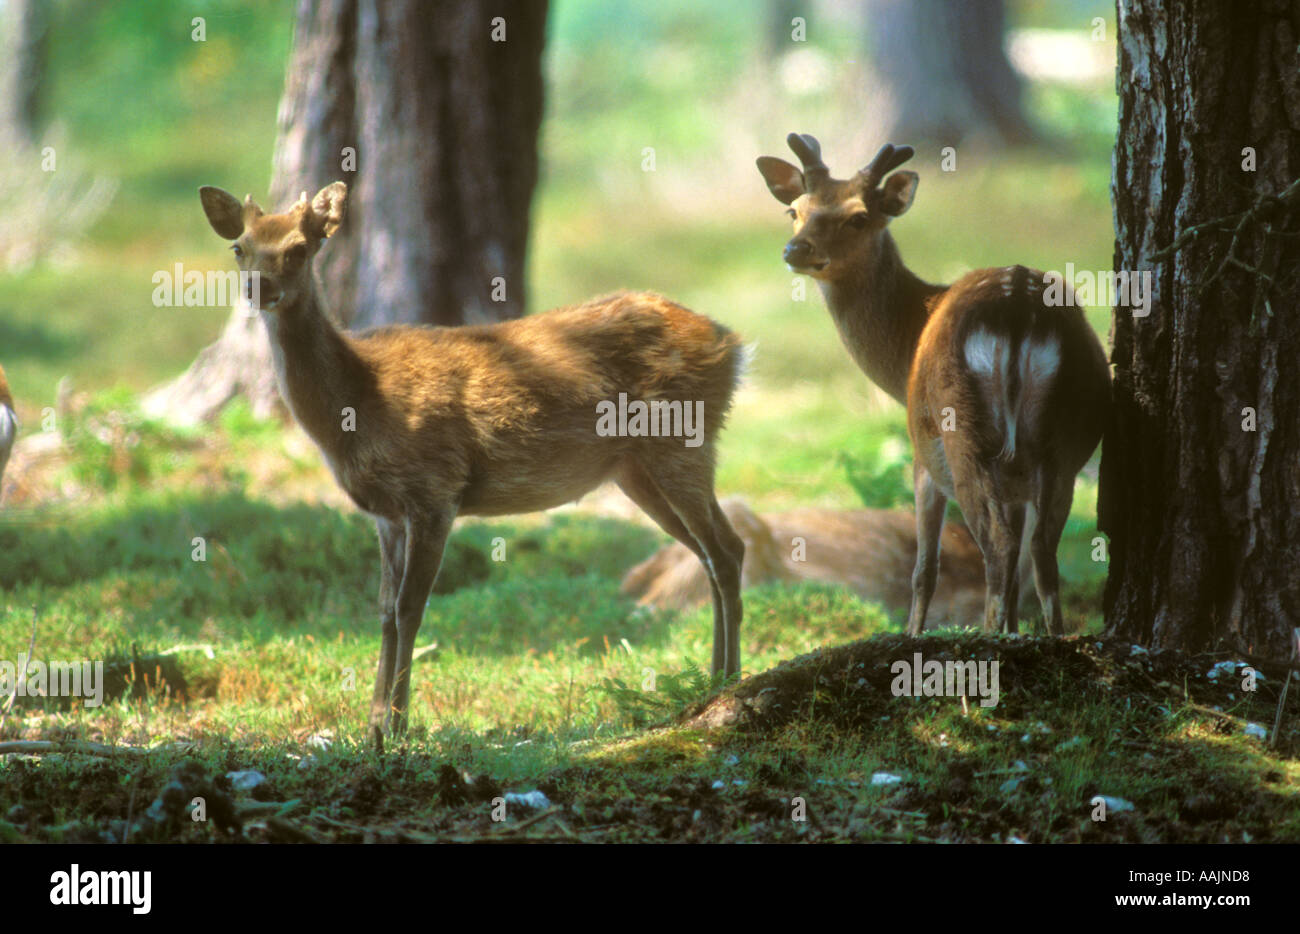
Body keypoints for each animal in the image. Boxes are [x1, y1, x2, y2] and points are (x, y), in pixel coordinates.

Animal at [199, 181, 746, 748]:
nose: (258, 290)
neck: (358, 404)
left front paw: (398, 726)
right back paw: (710, 680)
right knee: (708, 554)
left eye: (300, 249)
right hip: (636, 470)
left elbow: (410, 607)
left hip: (682, 442)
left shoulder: (435, 489)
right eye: (239, 247)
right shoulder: (386, 514)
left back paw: (727, 680)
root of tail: (734, 345)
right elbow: (384, 609)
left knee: (727, 548)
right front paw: (373, 726)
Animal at [757, 134, 1110, 637]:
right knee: (1041, 552)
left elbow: (924, 569)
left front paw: (913, 633)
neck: (905, 348)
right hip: (1065, 441)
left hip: (960, 431)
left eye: (858, 216)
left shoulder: (922, 457)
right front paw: (1014, 630)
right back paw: (1048, 637)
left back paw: (987, 638)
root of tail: (1020, 312)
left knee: (998, 545)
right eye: (795, 210)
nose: (795, 250)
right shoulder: (1019, 481)